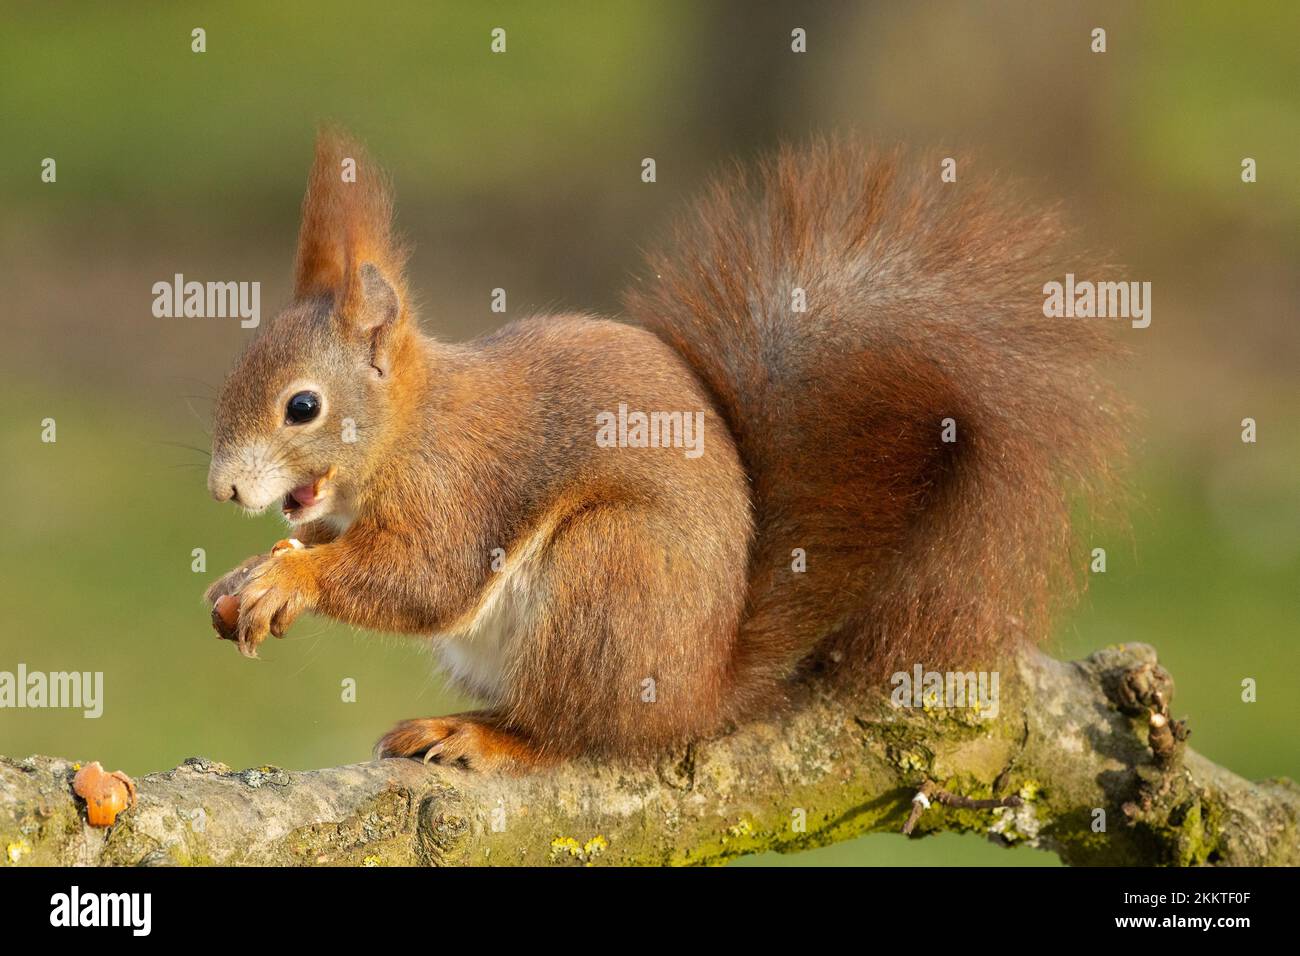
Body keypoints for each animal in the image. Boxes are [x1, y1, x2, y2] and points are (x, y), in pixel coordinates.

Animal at [204, 130, 1122, 770]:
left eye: (302, 407)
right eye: (231, 379)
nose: (224, 491)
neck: (406, 430)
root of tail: (702, 690)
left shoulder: (458, 485)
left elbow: (426, 576)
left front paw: (289, 579)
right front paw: (249, 571)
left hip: (609, 575)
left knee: (576, 731)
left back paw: (488, 738)